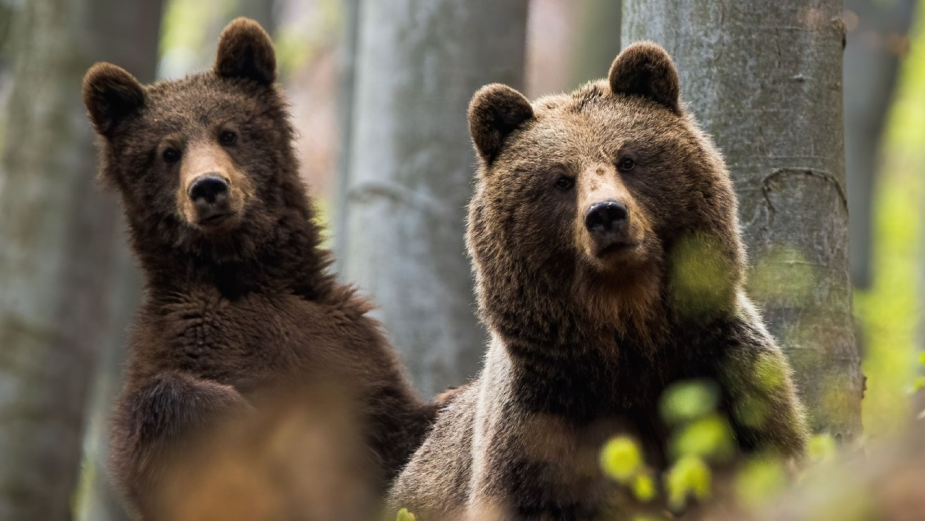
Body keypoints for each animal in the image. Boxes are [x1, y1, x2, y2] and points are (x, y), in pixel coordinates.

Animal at [82, 18, 436, 519]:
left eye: (228, 132)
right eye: (167, 151)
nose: (208, 187)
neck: (243, 272)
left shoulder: (347, 348)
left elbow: (404, 422)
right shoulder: (181, 345)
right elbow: (169, 411)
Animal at [387, 42, 809, 520]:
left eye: (628, 159)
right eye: (561, 179)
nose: (606, 214)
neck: (628, 333)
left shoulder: (730, 383)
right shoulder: (539, 428)